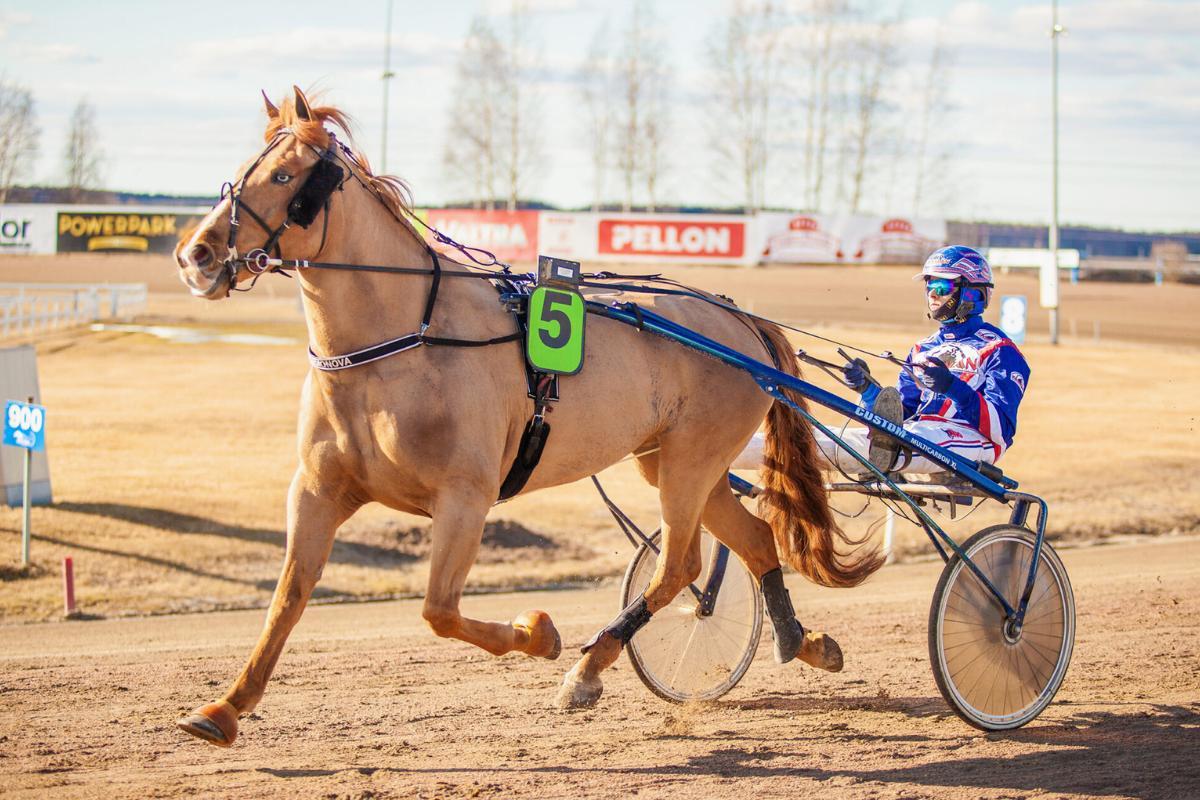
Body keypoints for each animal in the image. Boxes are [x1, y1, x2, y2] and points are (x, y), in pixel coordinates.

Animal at [172, 86, 882, 747]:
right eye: (243, 169)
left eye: (285, 177)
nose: (195, 254)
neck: (401, 343)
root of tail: (740, 320)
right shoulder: (318, 489)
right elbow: (288, 598)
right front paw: (225, 707)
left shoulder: (465, 496)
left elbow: (439, 611)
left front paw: (539, 634)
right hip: (675, 463)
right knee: (755, 540)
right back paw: (802, 642)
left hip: (693, 458)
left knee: (679, 566)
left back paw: (589, 668)